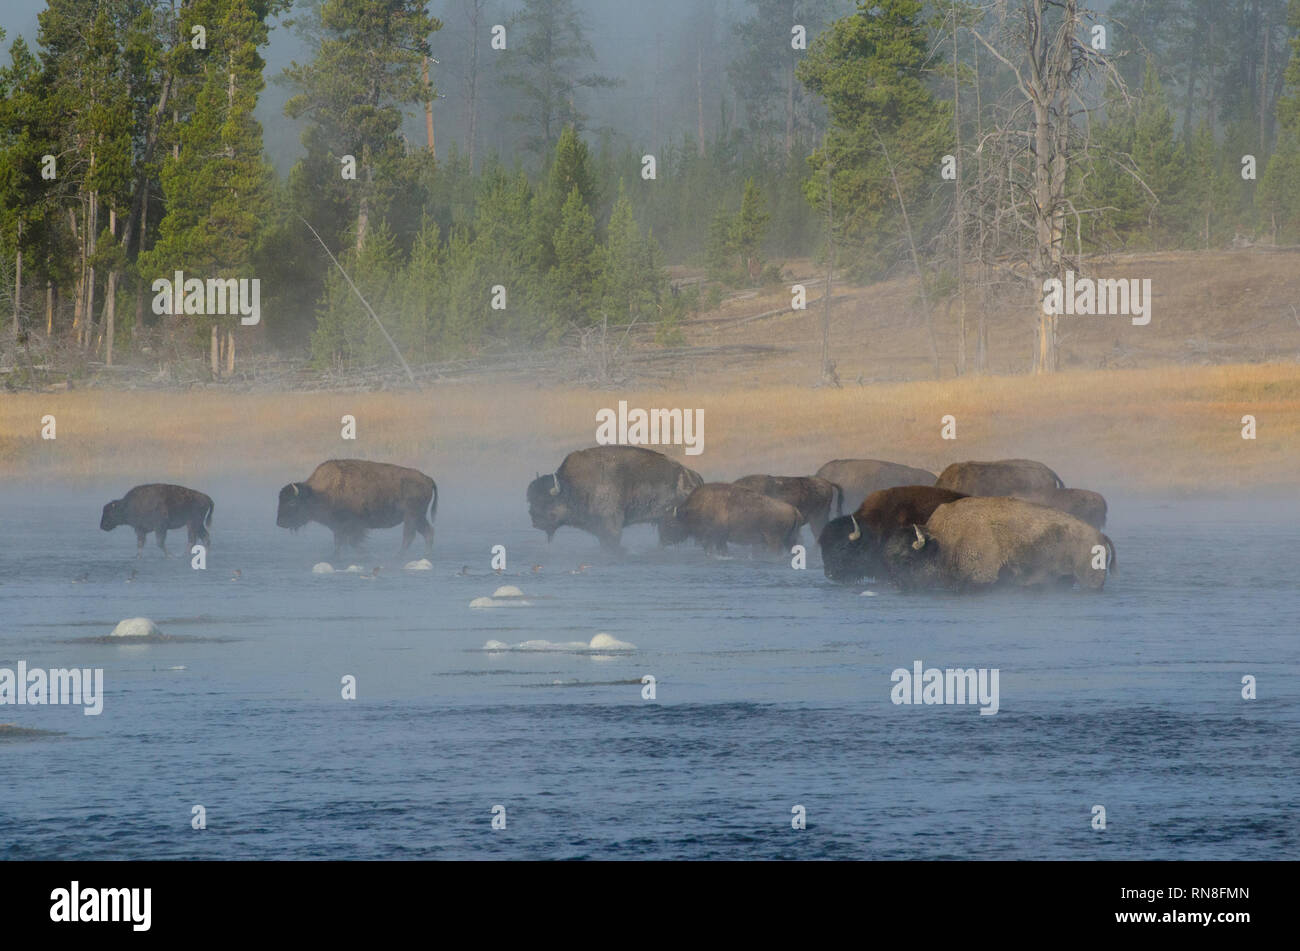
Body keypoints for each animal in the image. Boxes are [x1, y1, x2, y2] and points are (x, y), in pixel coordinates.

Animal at [277, 459, 437, 556]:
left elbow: (351, 542)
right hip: (418, 517)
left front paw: (365, 554)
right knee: (427, 532)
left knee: (409, 536)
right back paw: (425, 554)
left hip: (411, 516)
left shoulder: (352, 526)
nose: (279, 523)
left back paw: (399, 556)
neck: (318, 492)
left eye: (291, 503)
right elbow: (340, 542)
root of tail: (427, 478)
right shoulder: (338, 527)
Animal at [527, 445, 703, 552]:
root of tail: (694, 476)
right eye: (531, 500)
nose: (534, 521)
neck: (570, 487)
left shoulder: (610, 525)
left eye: (547, 501)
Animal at [659, 483, 802, 555]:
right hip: (790, 539)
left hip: (773, 539)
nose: (663, 541)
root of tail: (793, 509)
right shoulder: (720, 539)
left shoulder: (714, 538)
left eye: (670, 523)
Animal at [884, 496, 1115, 593]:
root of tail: (1099, 536)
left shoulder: (981, 579)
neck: (943, 541)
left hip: (1089, 579)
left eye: (906, 559)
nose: (895, 583)